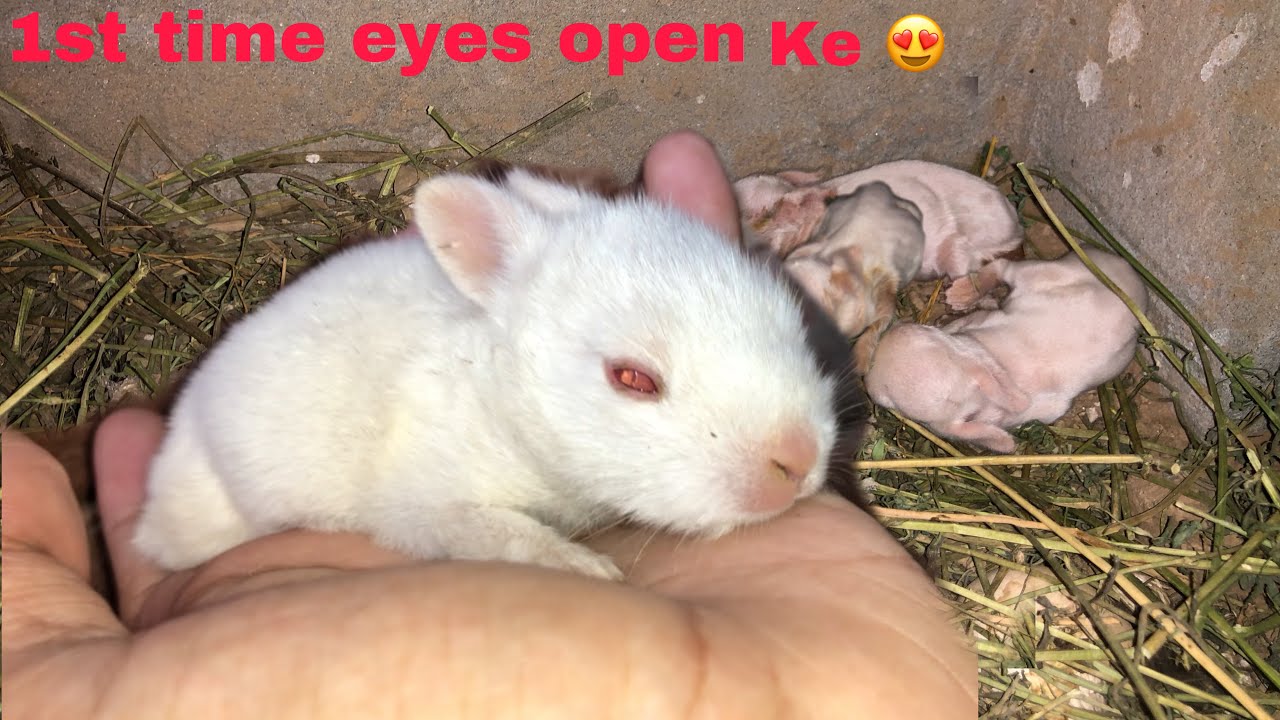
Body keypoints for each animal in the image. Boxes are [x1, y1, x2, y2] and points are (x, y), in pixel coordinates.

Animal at [132, 131, 841, 580]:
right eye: (632, 378)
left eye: (787, 317)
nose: (797, 459)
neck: (497, 393)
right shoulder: (431, 501)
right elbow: (504, 535)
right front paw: (589, 569)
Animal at [864, 250, 1149, 453]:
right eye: (928, 335)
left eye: (888, 400)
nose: (891, 333)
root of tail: (1131, 276)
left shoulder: (976, 323)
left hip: (1040, 272)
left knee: (1004, 266)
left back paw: (962, 292)